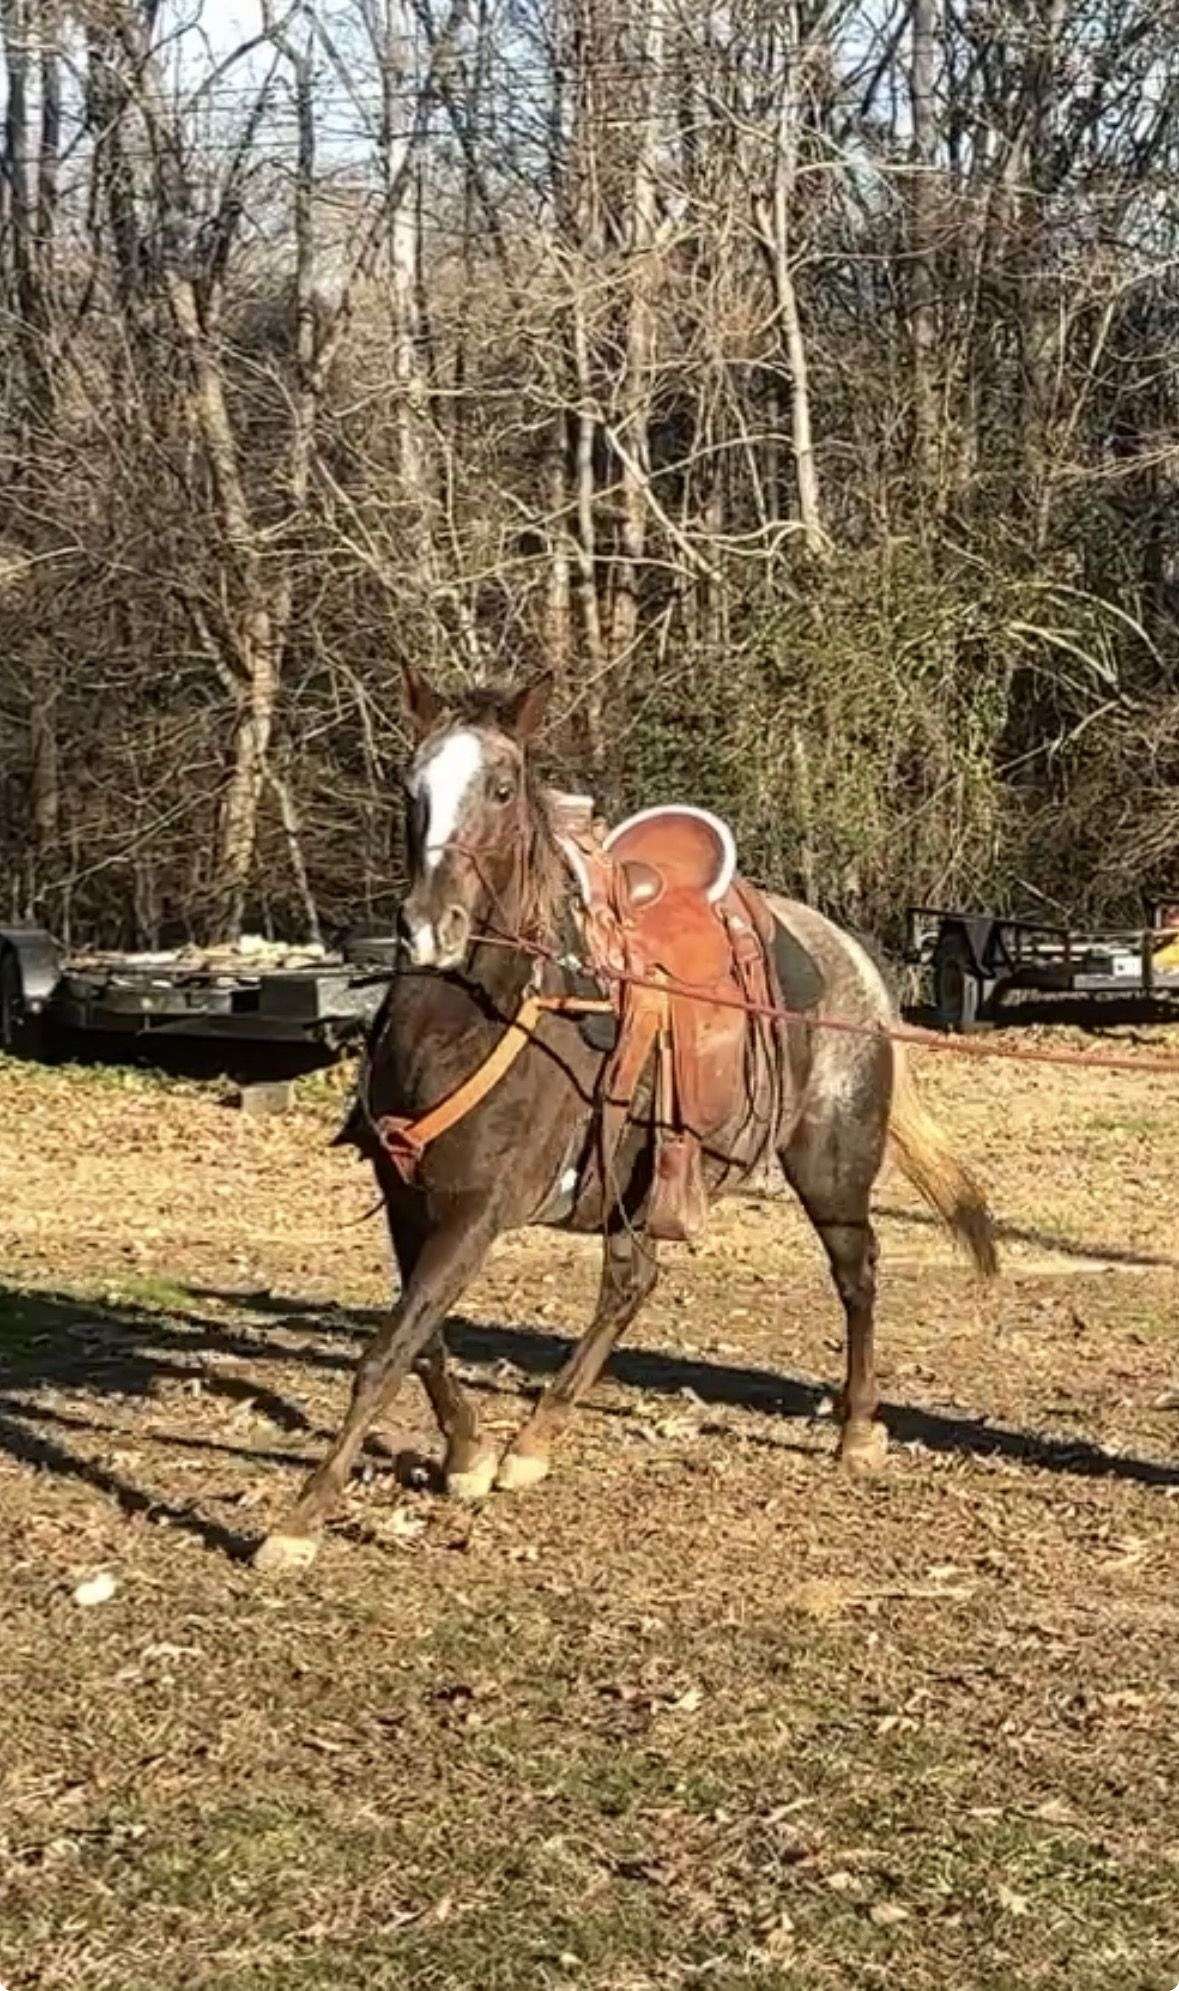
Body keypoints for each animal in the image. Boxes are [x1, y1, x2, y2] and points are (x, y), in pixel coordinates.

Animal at [252, 669, 996, 1572]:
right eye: (409, 786)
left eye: (502, 787)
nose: (430, 929)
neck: (467, 1020)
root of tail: (853, 961)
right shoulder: (407, 1201)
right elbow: (419, 1337)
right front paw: (467, 1453)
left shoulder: (476, 1212)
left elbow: (387, 1349)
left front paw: (299, 1521)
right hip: (641, 1179)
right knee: (631, 1281)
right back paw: (533, 1440)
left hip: (829, 1165)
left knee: (855, 1272)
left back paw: (855, 1428)